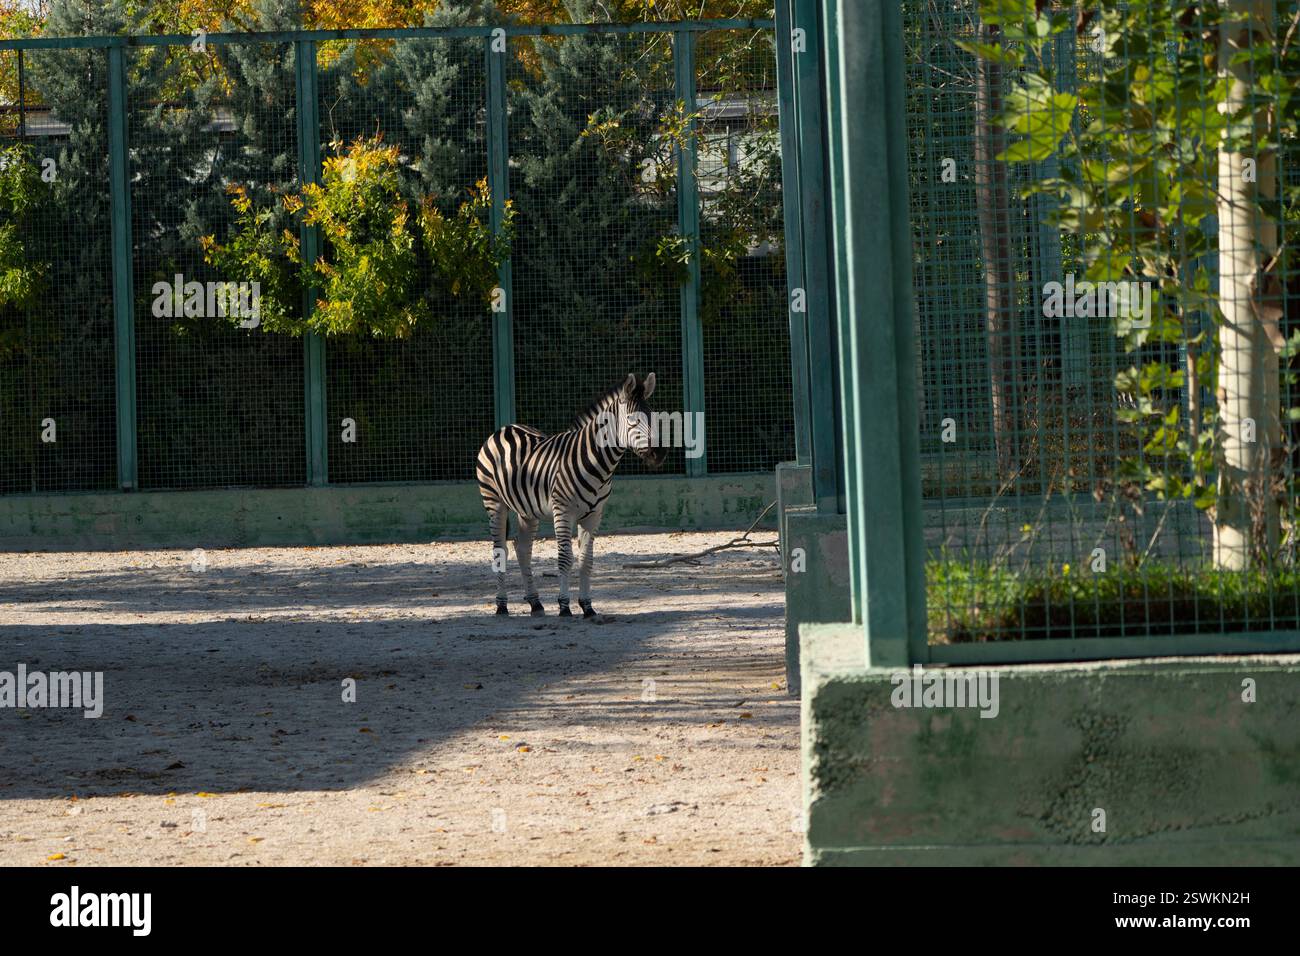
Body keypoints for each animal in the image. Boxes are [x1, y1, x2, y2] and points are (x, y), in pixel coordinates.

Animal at [476, 373, 666, 618]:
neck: (596, 462)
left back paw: (535, 603)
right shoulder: (563, 511)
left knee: (523, 549)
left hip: (527, 510)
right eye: (632, 420)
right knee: (500, 549)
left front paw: (587, 606)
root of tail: (504, 428)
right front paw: (564, 606)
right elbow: (565, 558)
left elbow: (586, 560)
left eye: (652, 416)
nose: (659, 454)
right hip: (494, 501)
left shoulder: (594, 514)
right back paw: (501, 605)